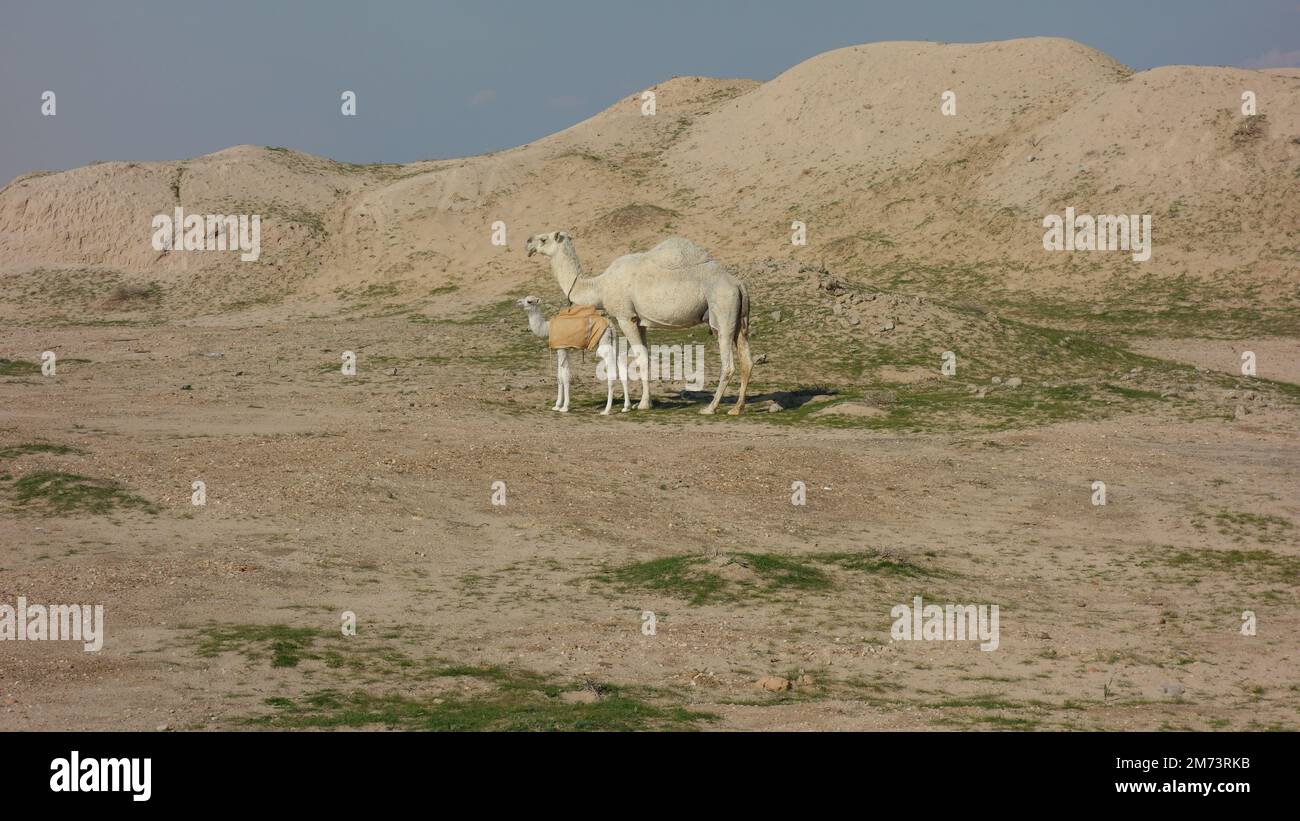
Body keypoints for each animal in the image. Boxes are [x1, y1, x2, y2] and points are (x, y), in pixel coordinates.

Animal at [525, 231, 752, 414]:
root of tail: (738, 284)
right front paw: (643, 402)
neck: (600, 285)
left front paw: (642, 404)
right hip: (738, 319)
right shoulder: (640, 320)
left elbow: (640, 357)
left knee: (728, 364)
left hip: (722, 309)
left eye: (543, 239)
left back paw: (710, 408)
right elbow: (646, 356)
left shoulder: (626, 317)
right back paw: (736, 408)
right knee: (746, 360)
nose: (527, 243)